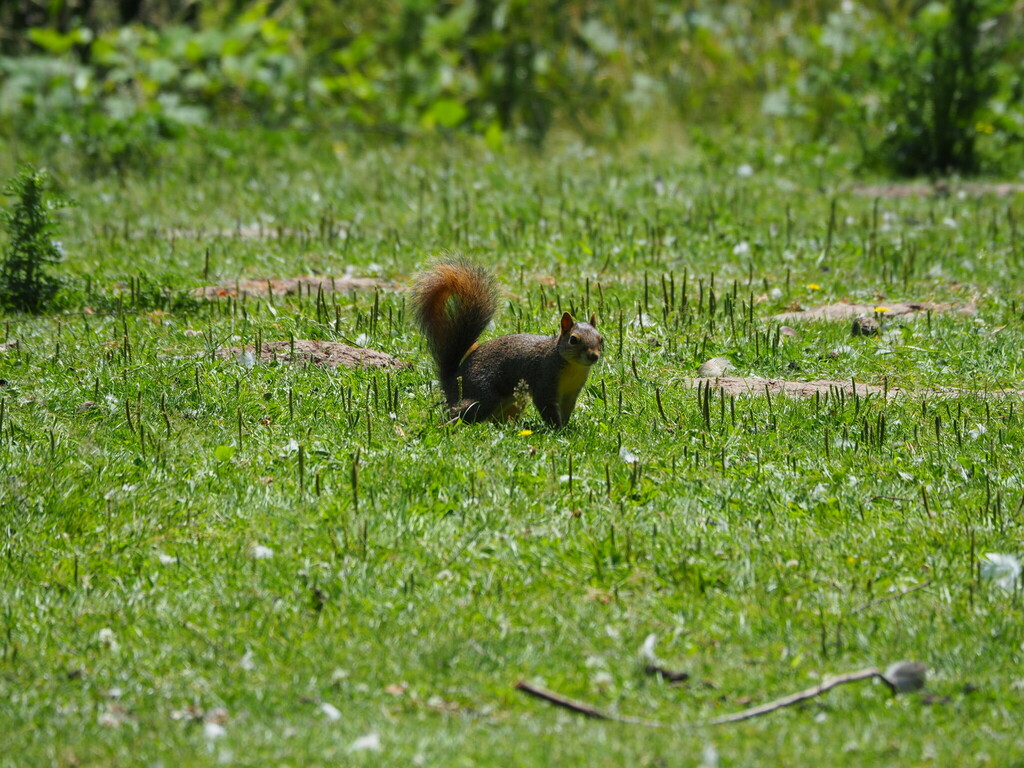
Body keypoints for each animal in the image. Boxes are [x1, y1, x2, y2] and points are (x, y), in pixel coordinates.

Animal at [412, 260, 603, 427]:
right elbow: (546, 405)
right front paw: (556, 429)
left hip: (514, 401)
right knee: (460, 411)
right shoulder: (544, 379)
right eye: (573, 339)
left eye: (601, 338)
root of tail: (453, 380)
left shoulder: (571, 393)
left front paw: (566, 427)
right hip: (484, 394)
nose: (593, 356)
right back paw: (447, 423)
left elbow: (566, 410)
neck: (573, 366)